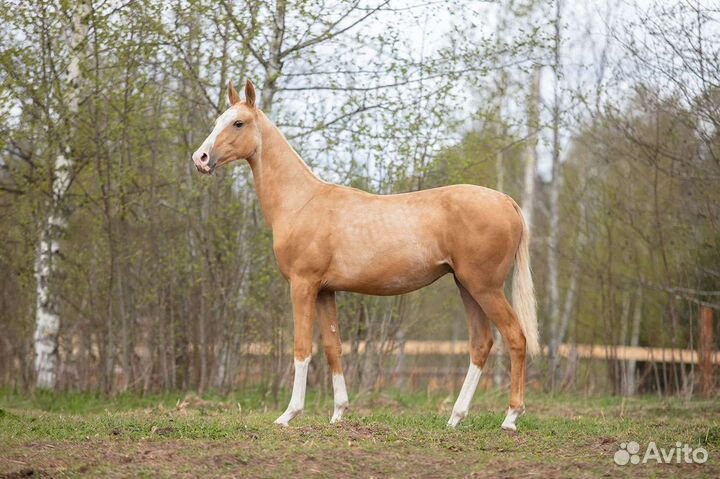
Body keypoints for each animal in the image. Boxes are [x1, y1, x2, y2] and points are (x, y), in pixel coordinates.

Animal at [194, 80, 536, 434]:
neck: (301, 202)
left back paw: (510, 418)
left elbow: (302, 347)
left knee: (516, 337)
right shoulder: (325, 291)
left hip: (486, 288)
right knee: (481, 344)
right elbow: (333, 348)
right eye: (219, 120)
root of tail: (507, 201)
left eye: (238, 123)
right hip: (467, 287)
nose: (200, 158)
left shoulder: (302, 285)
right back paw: (455, 418)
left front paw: (289, 414)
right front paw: (338, 413)